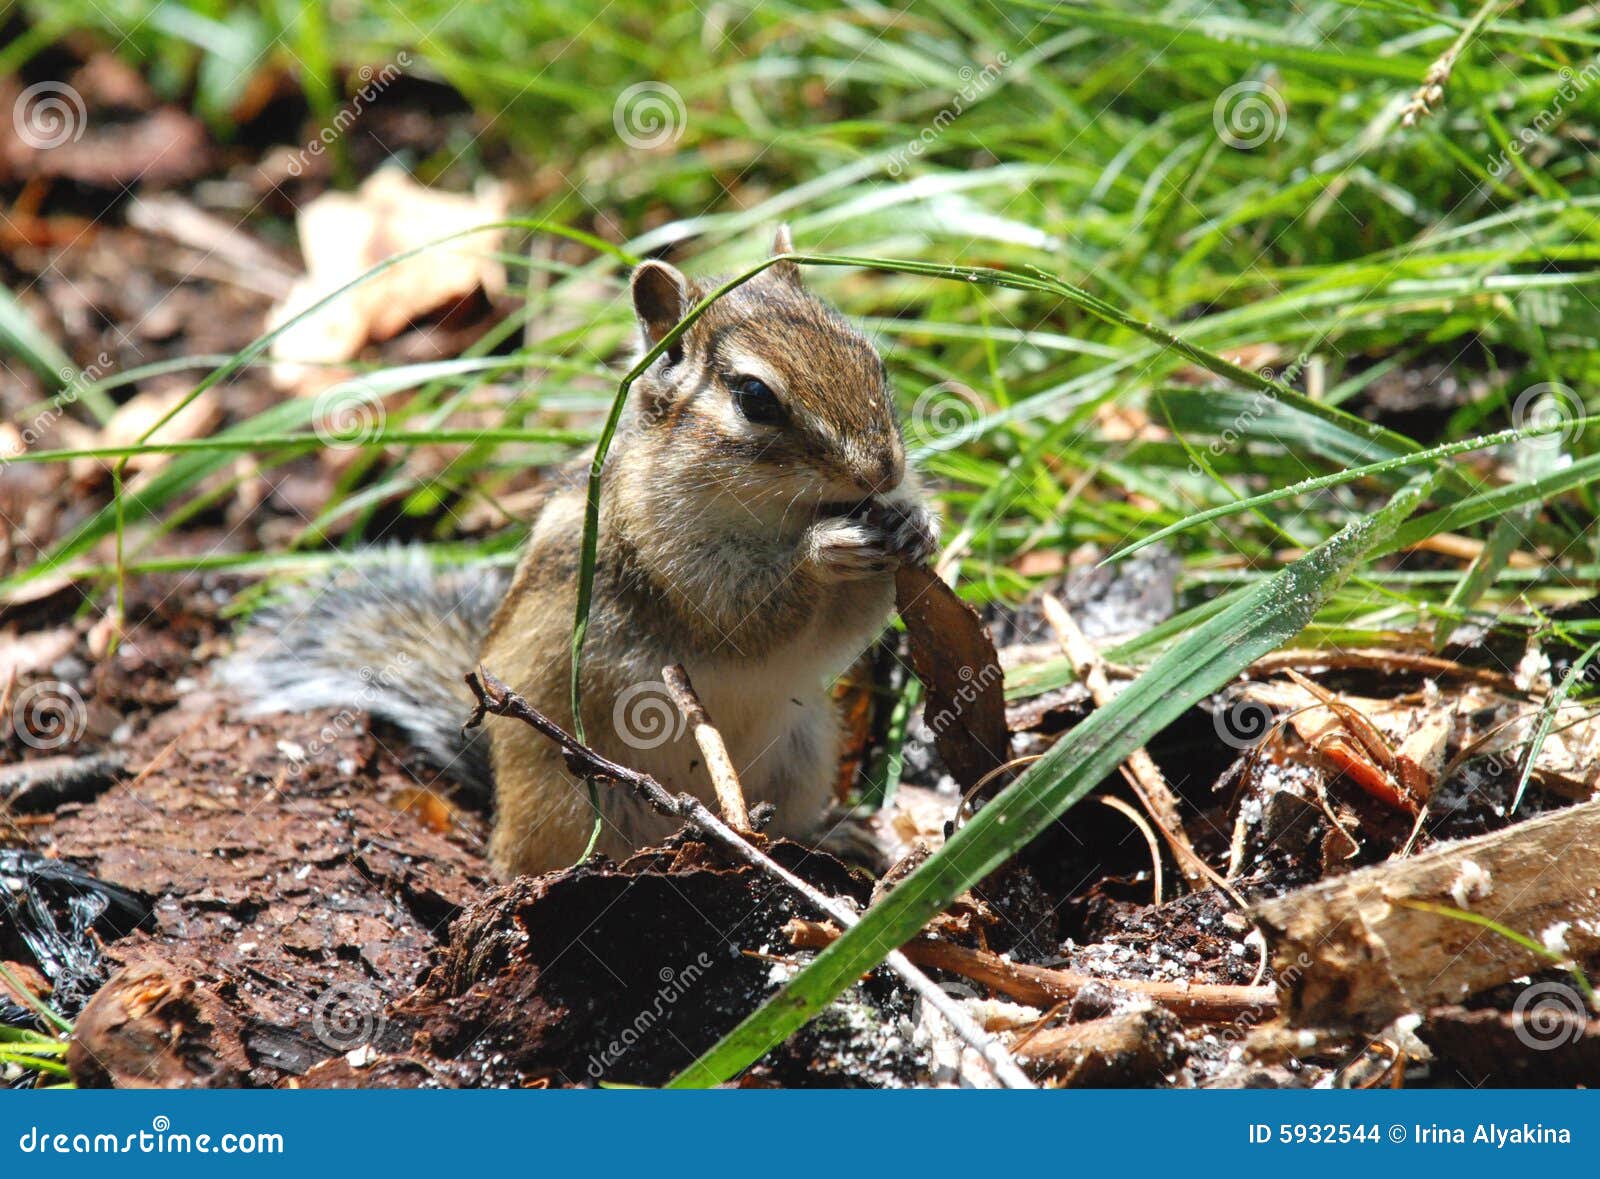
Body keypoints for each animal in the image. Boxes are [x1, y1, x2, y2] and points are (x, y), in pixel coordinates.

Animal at [224, 227, 936, 878]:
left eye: (872, 360)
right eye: (755, 398)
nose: (881, 472)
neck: (777, 514)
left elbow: (838, 631)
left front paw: (918, 524)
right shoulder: (665, 556)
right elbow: (744, 616)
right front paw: (825, 550)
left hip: (803, 751)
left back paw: (834, 837)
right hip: (570, 797)